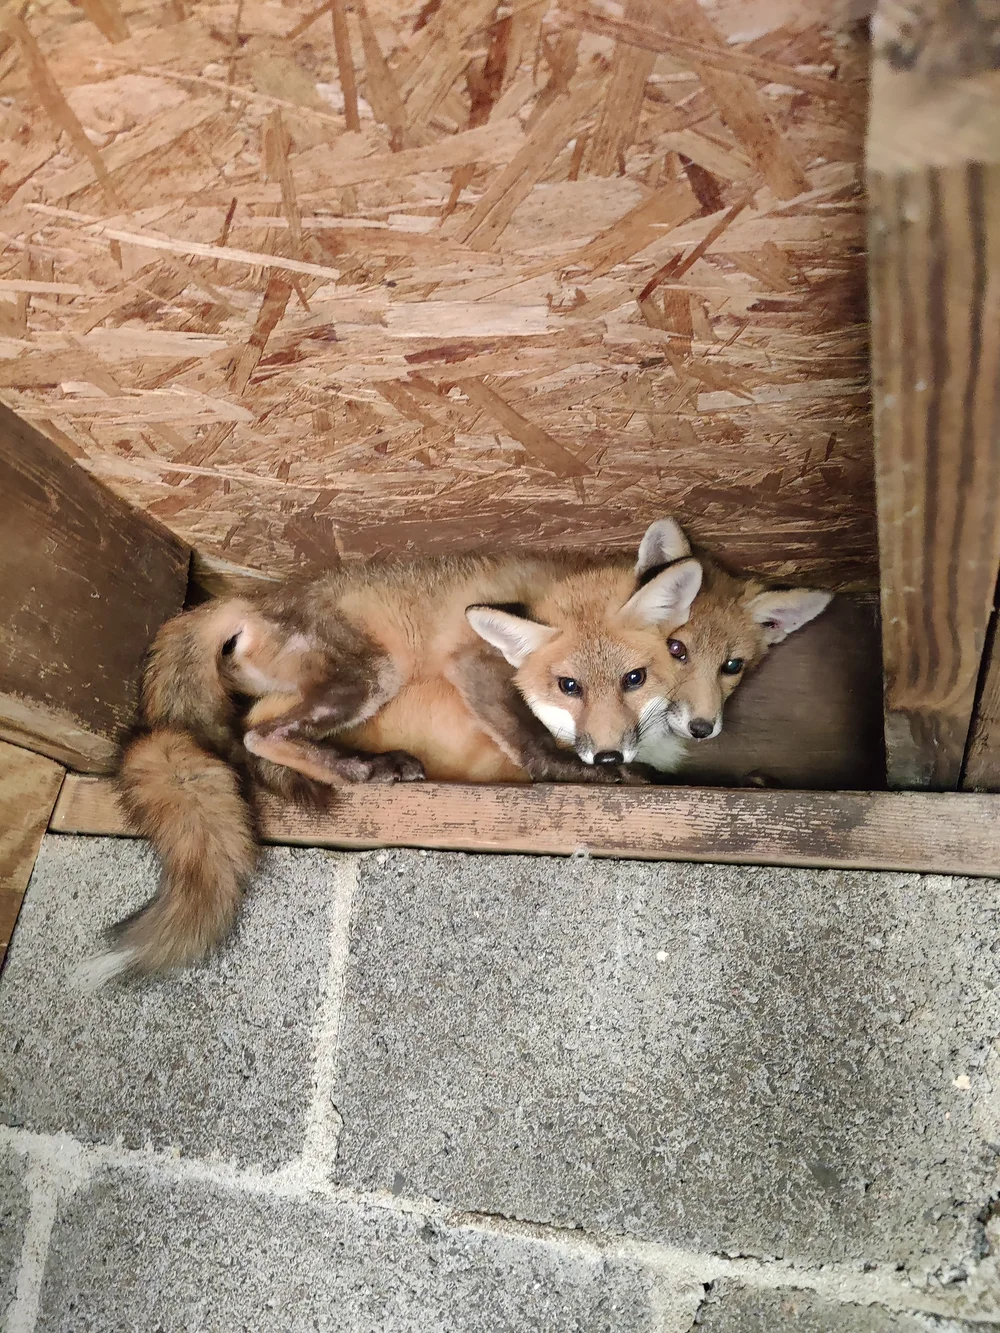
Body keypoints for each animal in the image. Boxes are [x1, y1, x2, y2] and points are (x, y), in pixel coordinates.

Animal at [90, 518, 830, 982]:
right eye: (675, 652)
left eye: (731, 665)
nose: (701, 726)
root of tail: (245, 595)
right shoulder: (476, 663)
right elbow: (539, 753)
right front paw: (606, 780)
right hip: (374, 673)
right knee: (256, 732)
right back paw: (360, 769)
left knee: (253, 733)